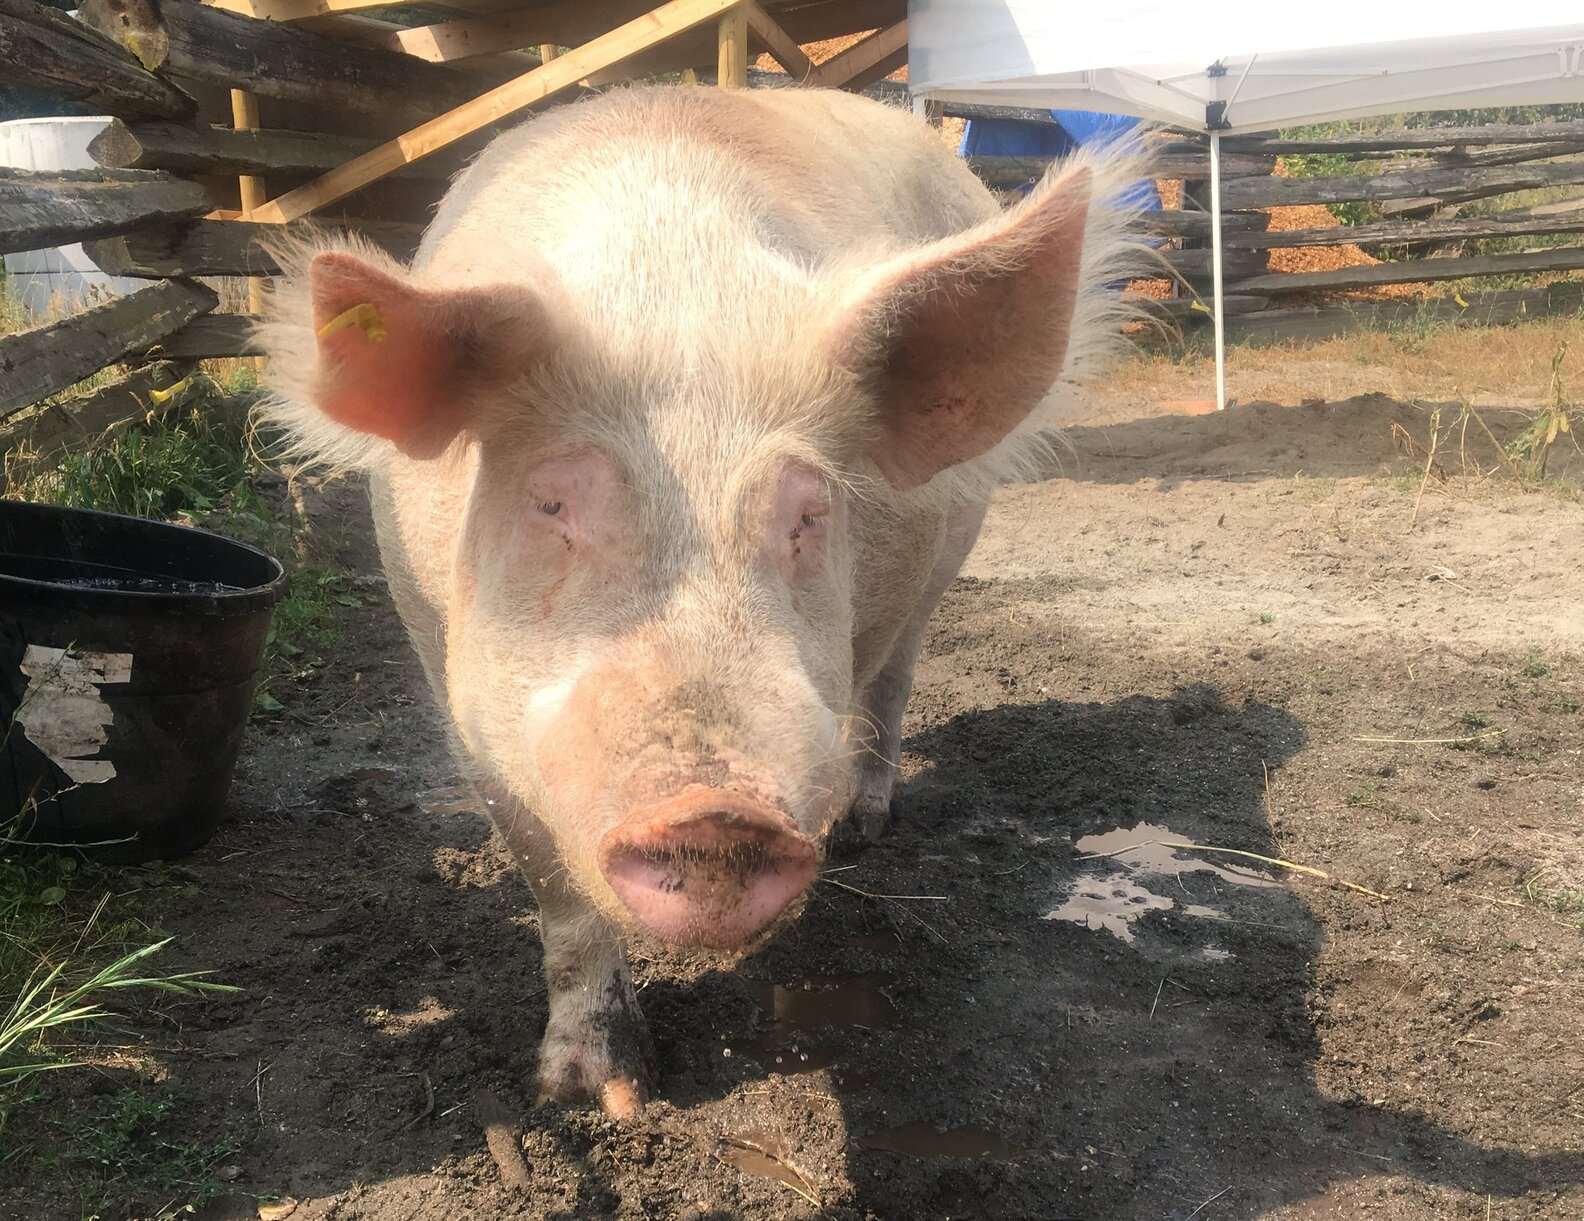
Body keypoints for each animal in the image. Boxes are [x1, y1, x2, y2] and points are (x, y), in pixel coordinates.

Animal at [259, 84, 1138, 1118]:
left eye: (809, 512)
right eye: (551, 503)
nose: (716, 812)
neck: (668, 283)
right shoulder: (452, 683)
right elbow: (555, 889)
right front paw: (592, 1097)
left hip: (947, 554)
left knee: (891, 680)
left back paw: (866, 825)